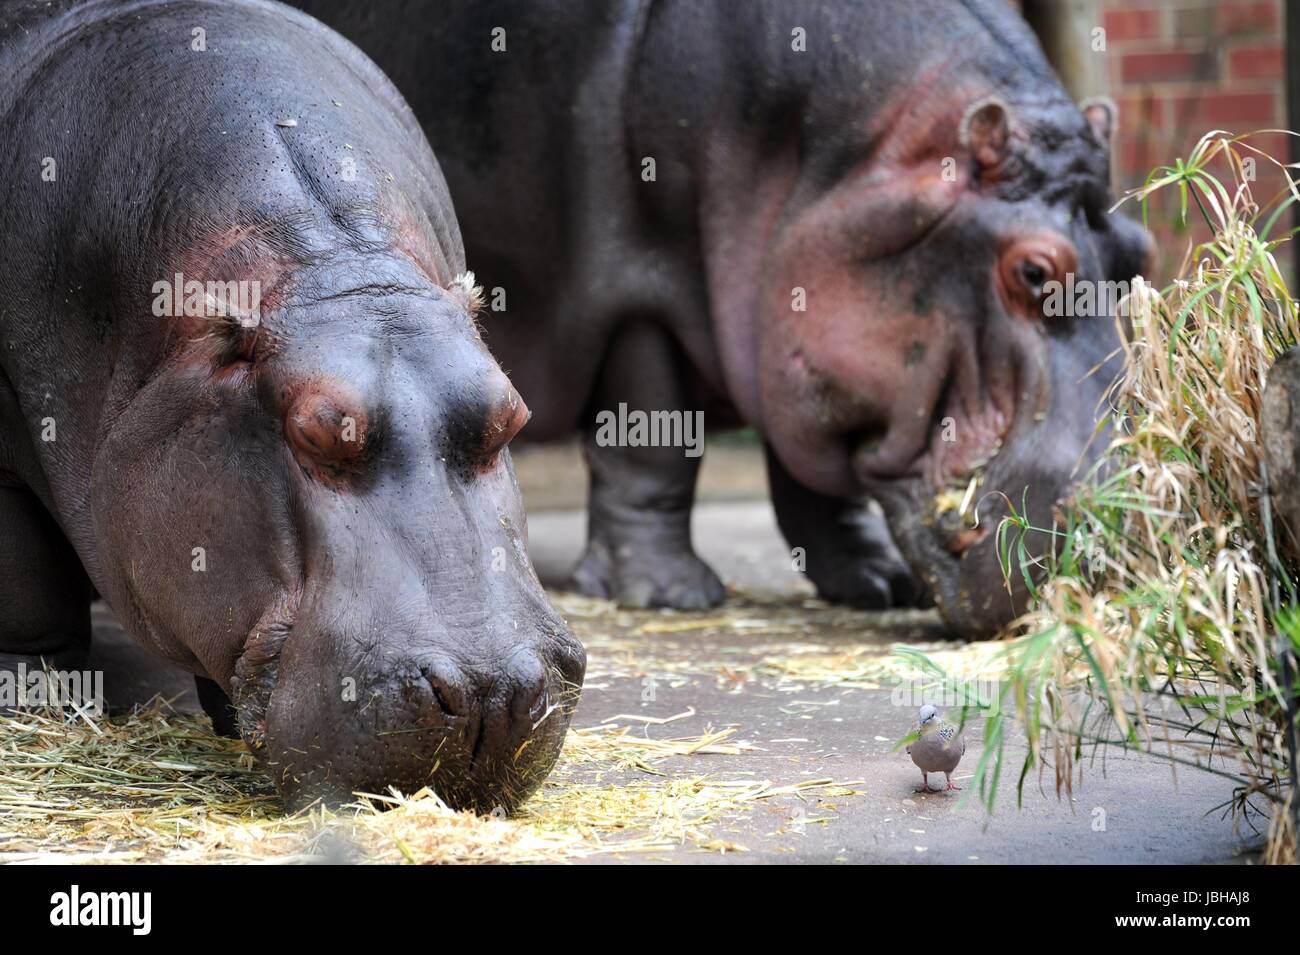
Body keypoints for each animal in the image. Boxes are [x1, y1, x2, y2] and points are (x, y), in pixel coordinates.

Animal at [0, 0, 584, 811]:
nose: (490, 693)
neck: (323, 258)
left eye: (509, 419)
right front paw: (31, 701)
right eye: (314, 432)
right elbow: (23, 579)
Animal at [292, 0, 1154, 637]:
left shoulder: (783, 320)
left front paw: (878, 582)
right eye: (1034, 270)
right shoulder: (640, 285)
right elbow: (654, 442)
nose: (1118, 539)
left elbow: (809, 468)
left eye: (1140, 254)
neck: (853, 154)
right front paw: (669, 594)